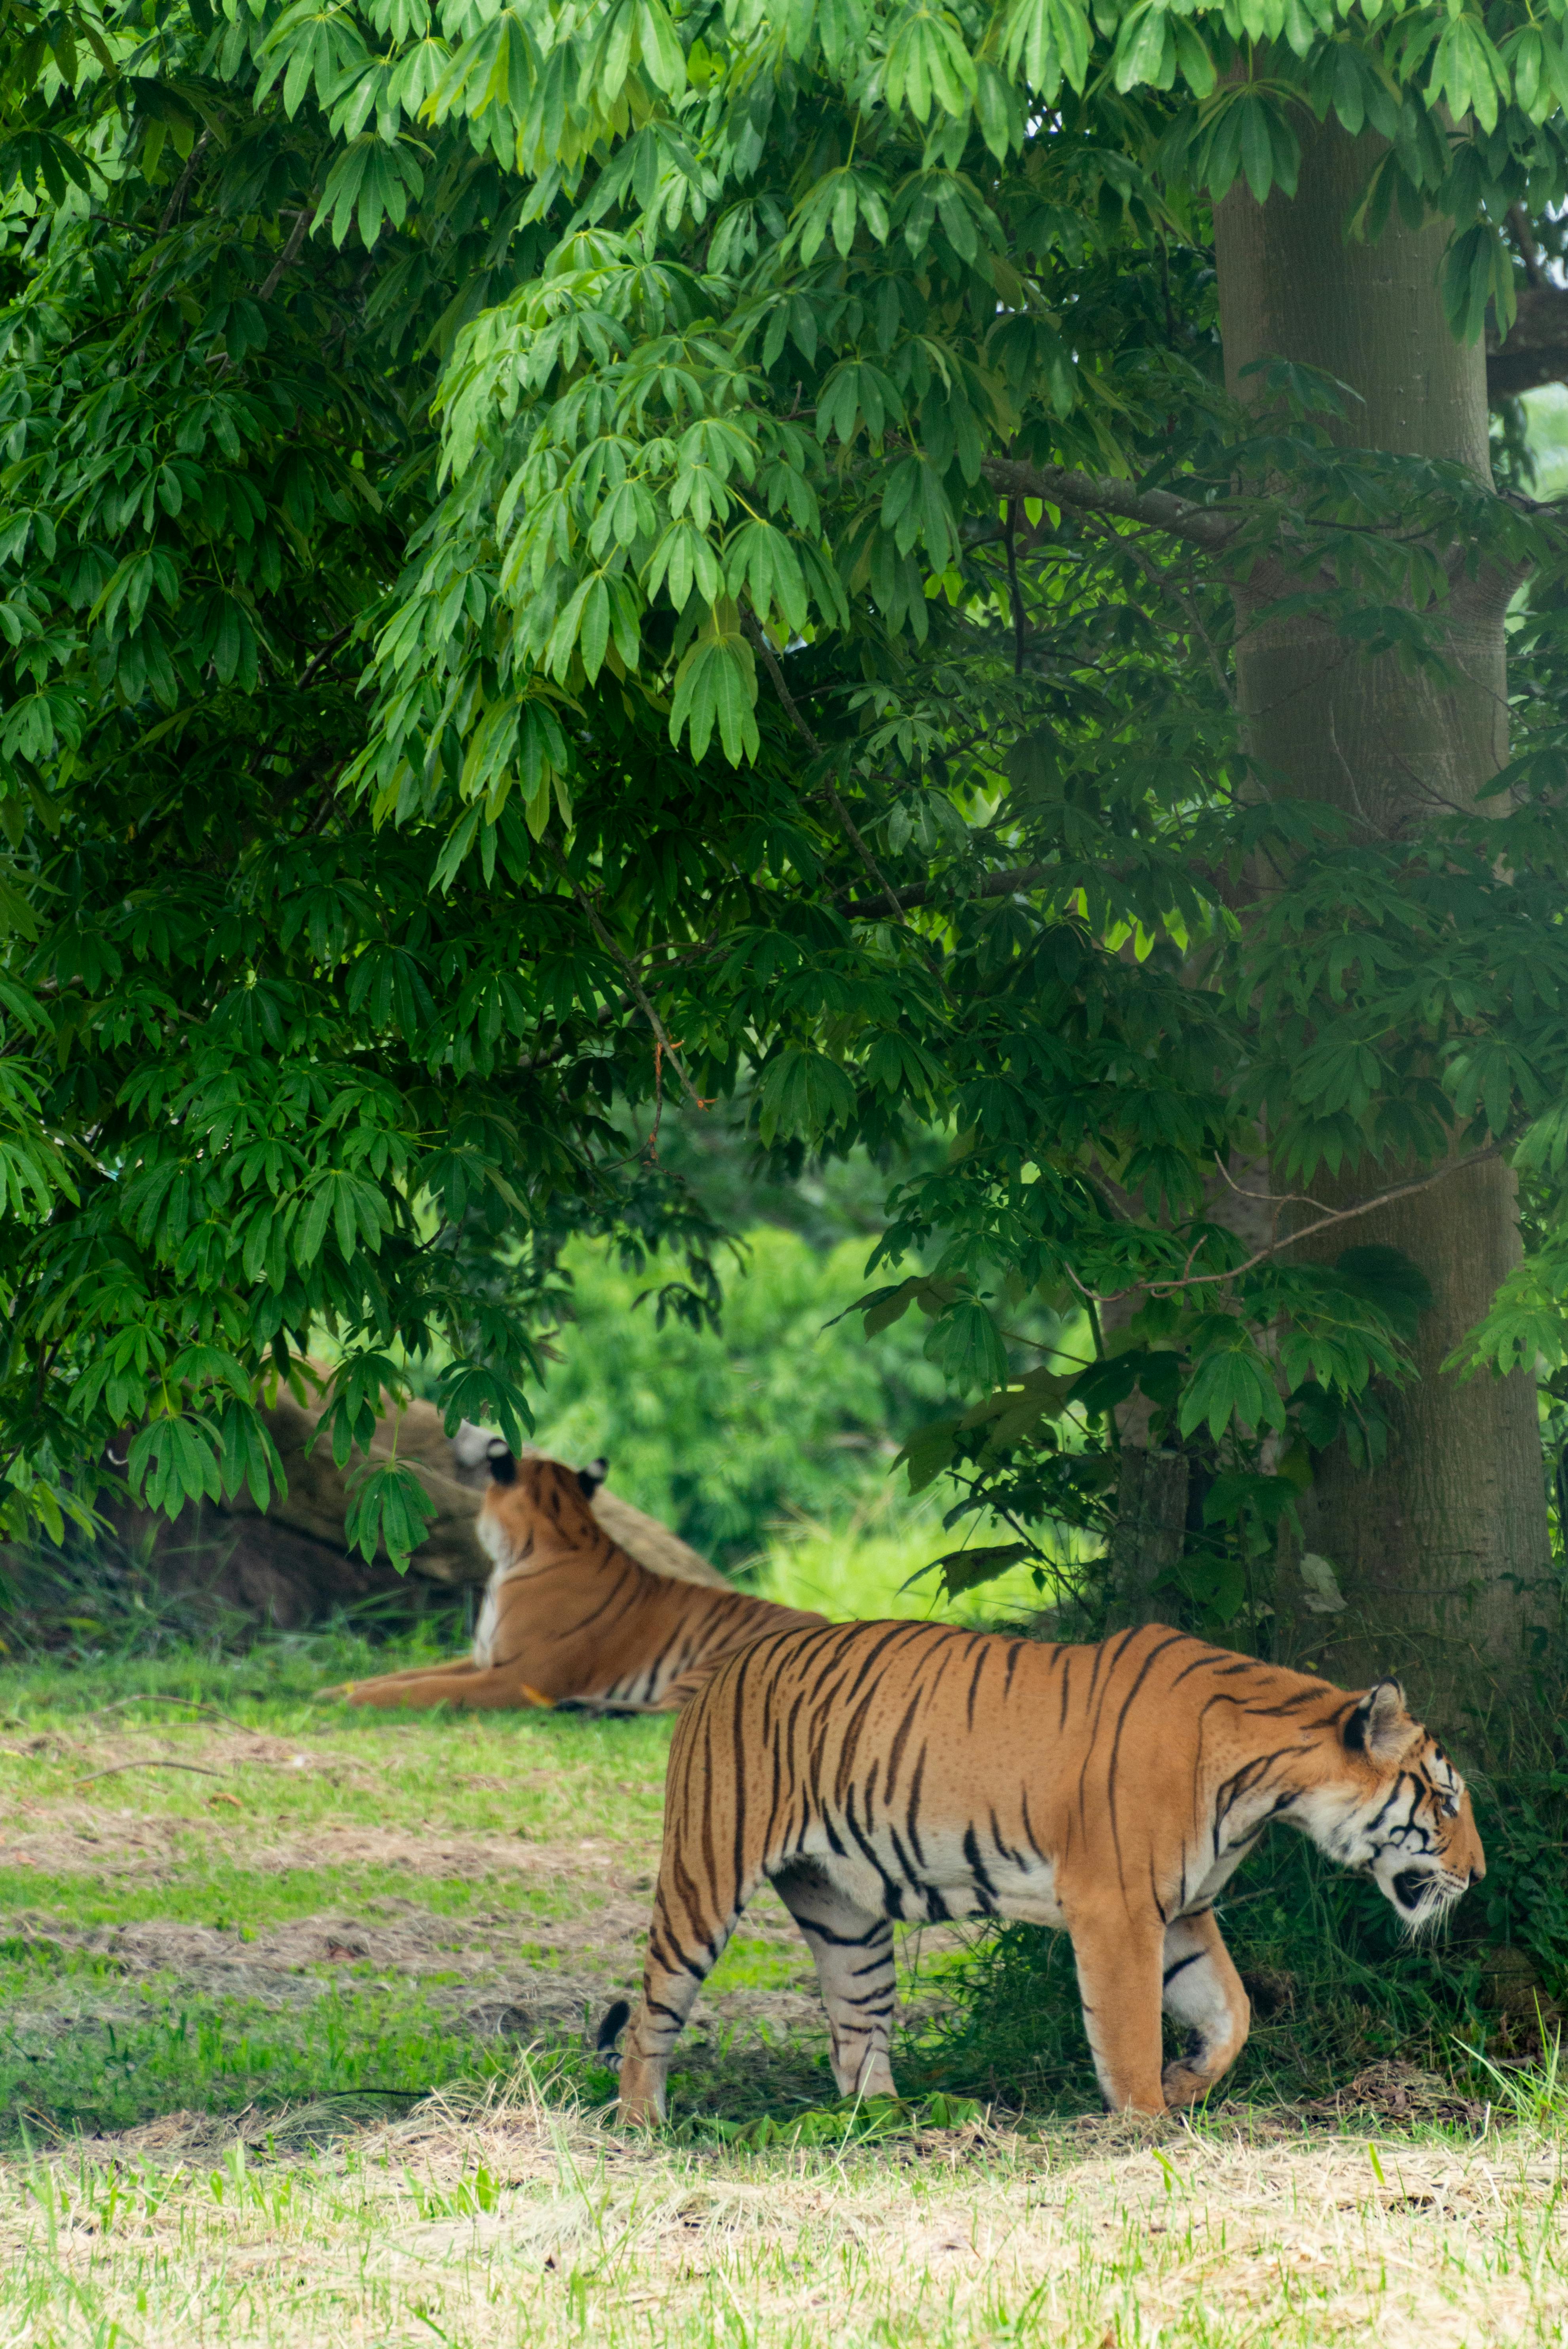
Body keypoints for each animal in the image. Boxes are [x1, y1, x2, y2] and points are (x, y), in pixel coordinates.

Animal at [338, 1448, 827, 1713]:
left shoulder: (518, 1676)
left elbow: (428, 1687)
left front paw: (352, 1702)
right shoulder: (482, 1659)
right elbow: (404, 1674)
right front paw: (336, 1691)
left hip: (722, 1660)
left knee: (668, 1711)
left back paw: (587, 1707)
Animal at [598, 1616, 1484, 2119]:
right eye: (1443, 1800)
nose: (1476, 1875)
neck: (1266, 1788)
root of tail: (725, 1665)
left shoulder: (1182, 1910)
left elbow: (1230, 2010)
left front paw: (1188, 2080)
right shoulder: (1117, 1907)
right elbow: (1125, 2029)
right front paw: (1146, 2120)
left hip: (845, 1916)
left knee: (854, 2034)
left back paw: (886, 2125)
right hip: (703, 1873)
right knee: (651, 2014)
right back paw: (644, 2127)